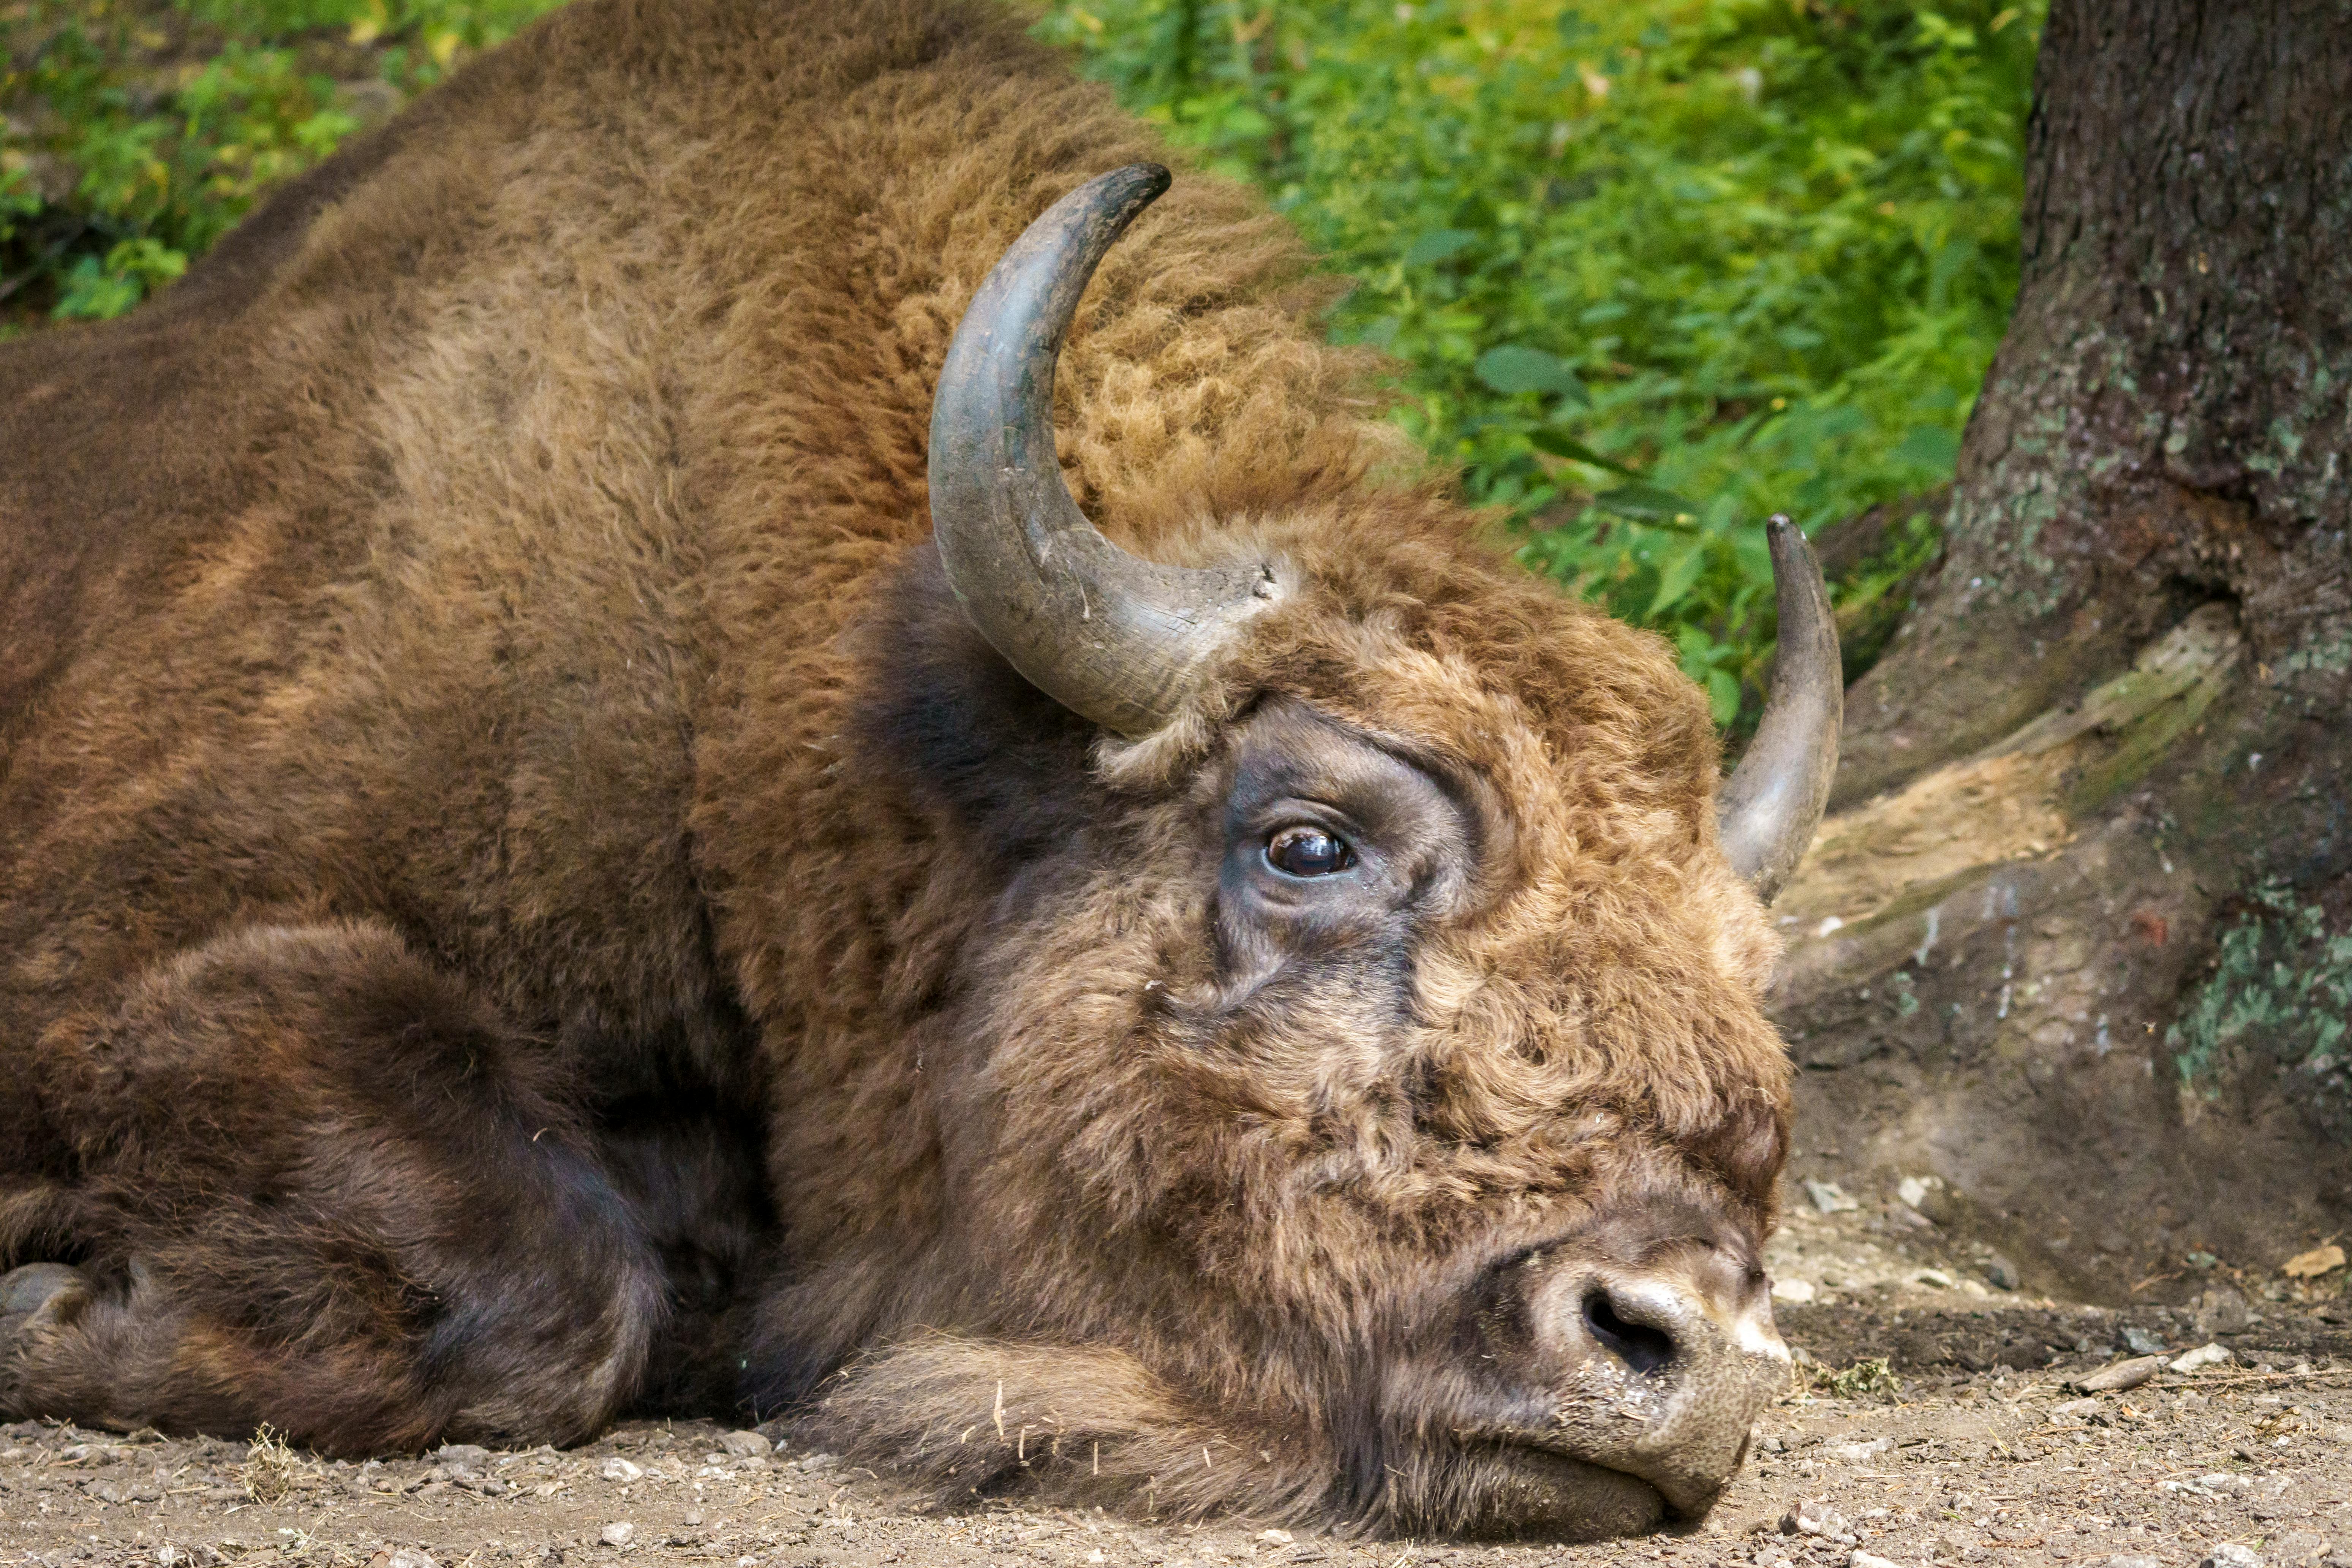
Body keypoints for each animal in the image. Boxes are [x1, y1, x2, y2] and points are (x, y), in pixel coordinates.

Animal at [0, 0, 1841, 1539]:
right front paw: (47, 1311)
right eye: (1304, 842)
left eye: (1746, 969)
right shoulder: (129, 974)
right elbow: (550, 1280)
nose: (1689, 1354)